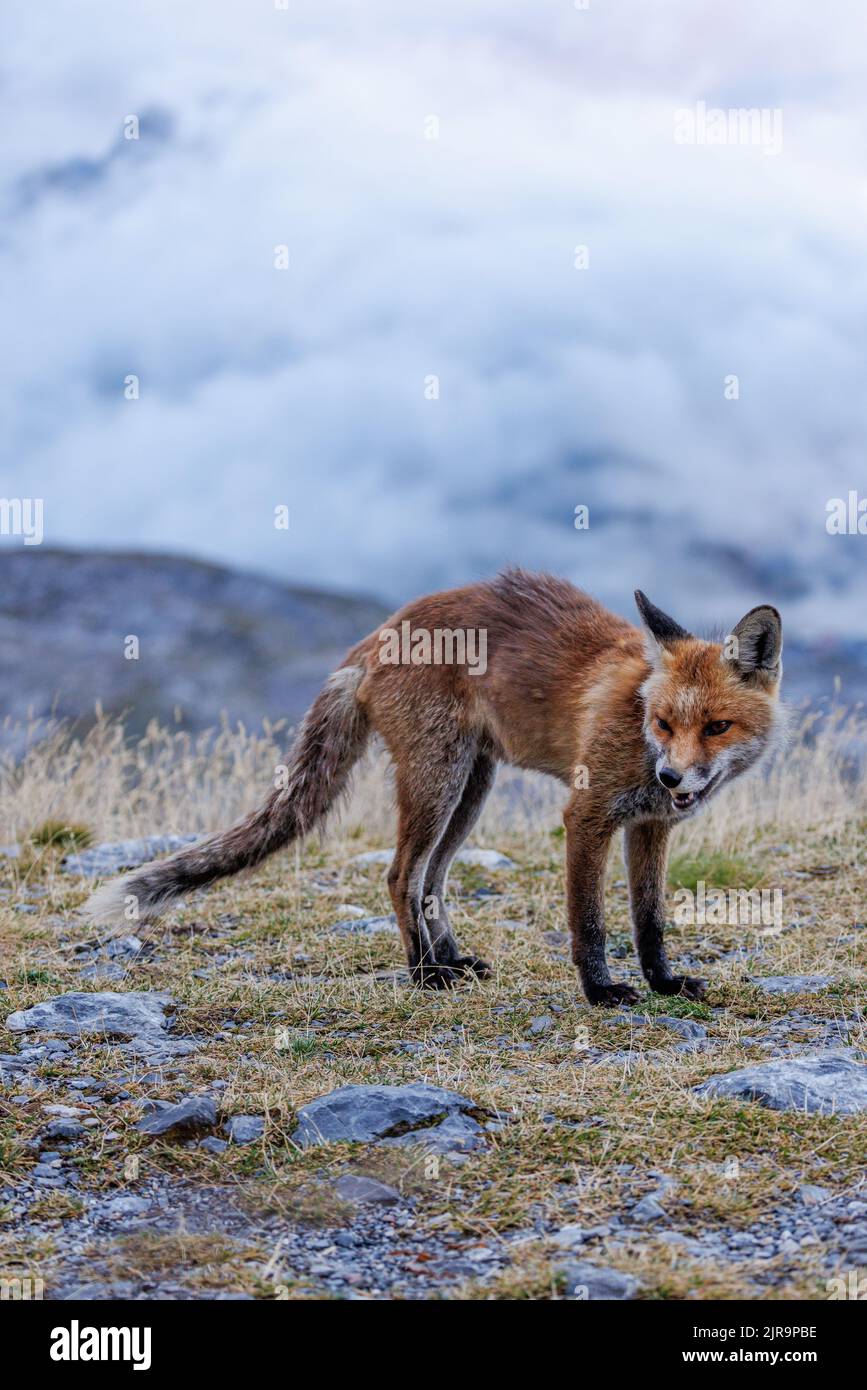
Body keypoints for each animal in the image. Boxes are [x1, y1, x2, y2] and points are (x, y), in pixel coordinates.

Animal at [86, 570, 784, 1006]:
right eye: (664, 723)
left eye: (716, 726)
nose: (671, 776)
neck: (635, 725)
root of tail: (381, 631)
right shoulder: (586, 817)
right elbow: (588, 922)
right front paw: (600, 992)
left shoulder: (650, 825)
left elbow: (649, 920)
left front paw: (664, 984)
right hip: (438, 782)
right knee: (401, 875)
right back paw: (424, 975)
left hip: (471, 789)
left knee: (432, 880)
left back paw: (449, 961)